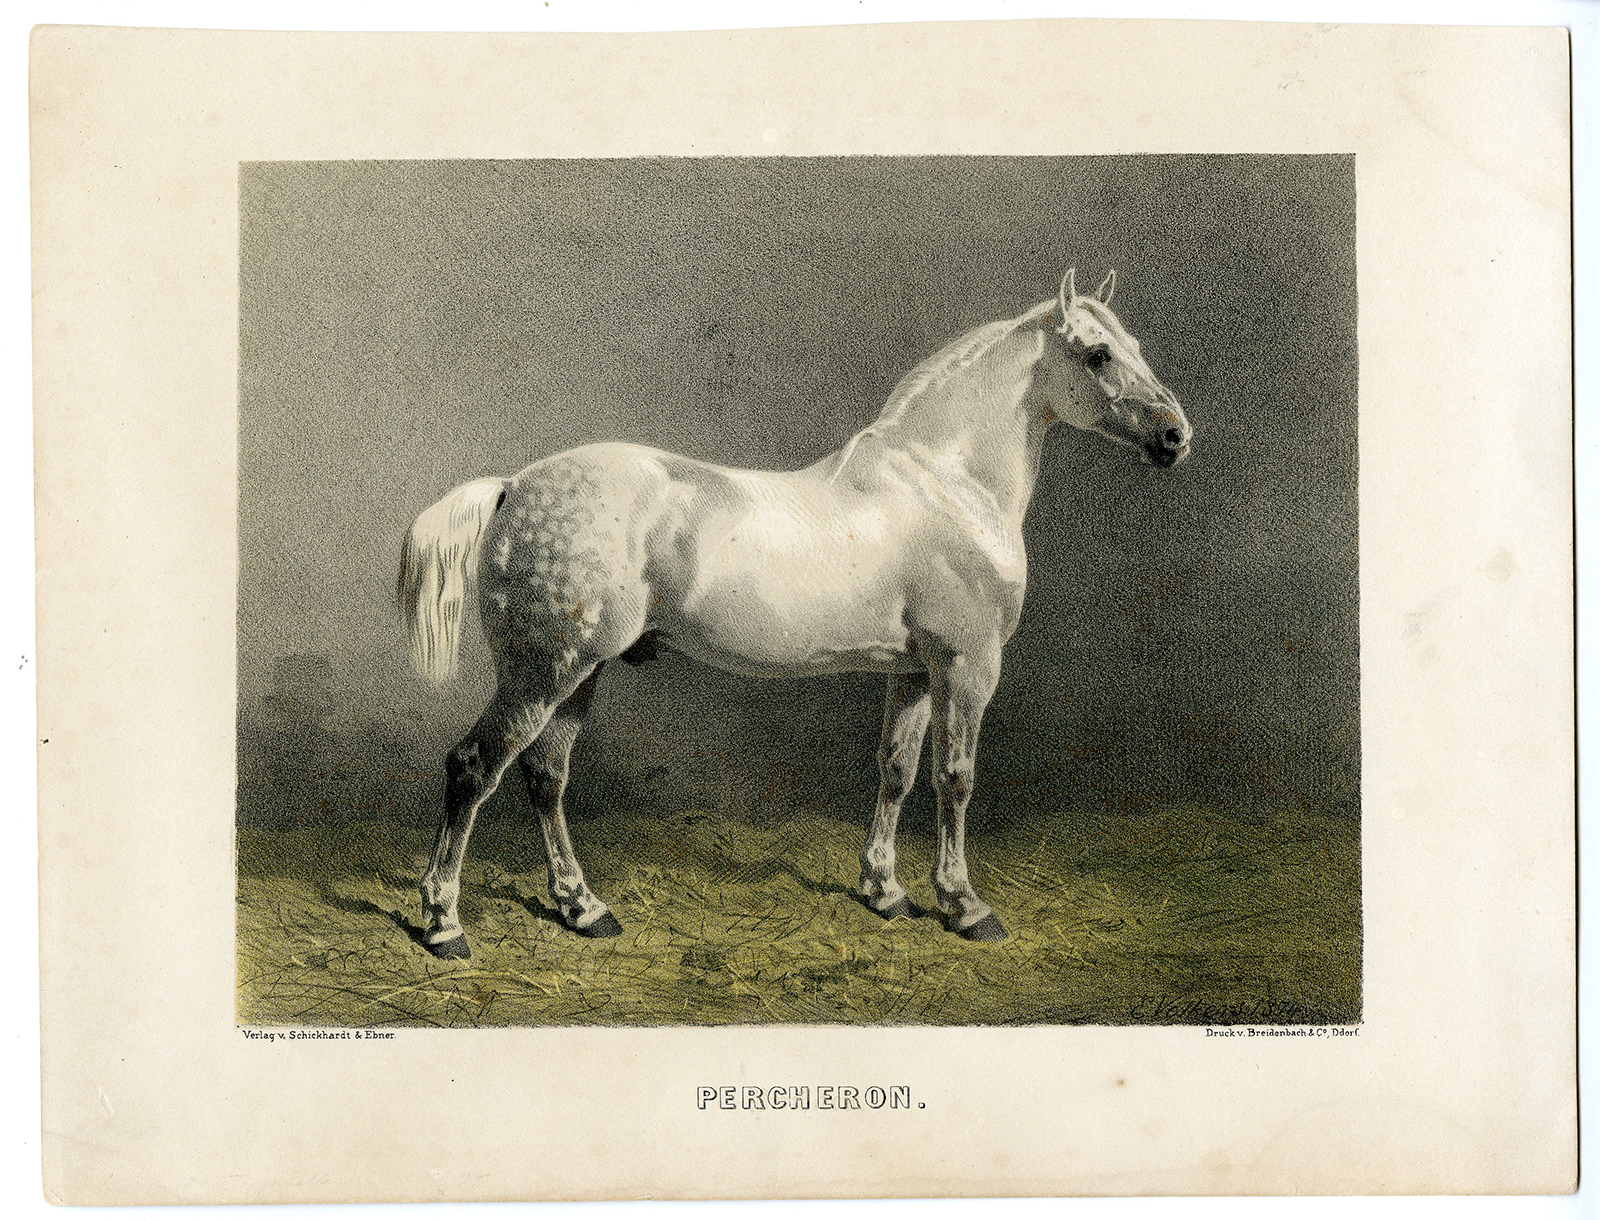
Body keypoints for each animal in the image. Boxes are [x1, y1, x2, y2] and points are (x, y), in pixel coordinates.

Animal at [397, 267, 1191, 958]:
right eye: (1097, 353)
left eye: (1136, 345)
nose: (1176, 436)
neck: (945, 483)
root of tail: (515, 486)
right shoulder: (967, 666)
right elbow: (955, 778)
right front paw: (965, 907)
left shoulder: (914, 672)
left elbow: (896, 770)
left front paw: (885, 892)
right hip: (542, 675)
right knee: (474, 768)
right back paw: (444, 925)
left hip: (580, 672)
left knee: (545, 777)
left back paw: (583, 909)